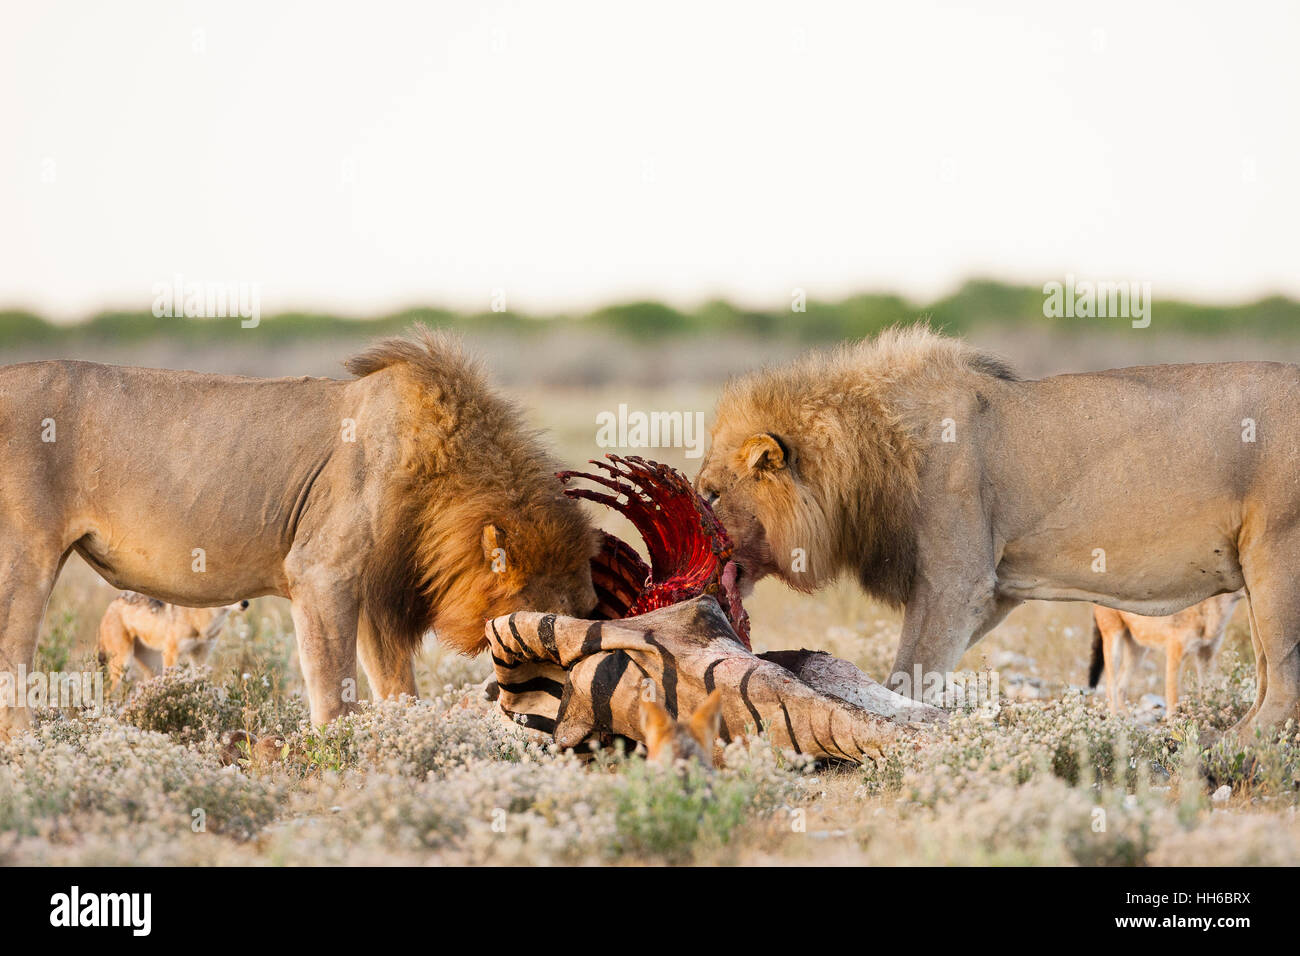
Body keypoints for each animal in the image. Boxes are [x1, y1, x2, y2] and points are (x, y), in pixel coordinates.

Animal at [97, 591, 250, 687]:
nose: (246, 603)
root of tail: (111, 604)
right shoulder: (171, 654)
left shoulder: (200, 656)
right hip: (123, 666)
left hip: (153, 668)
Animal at [1088, 591, 1243, 714]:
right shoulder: (1175, 654)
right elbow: (1173, 699)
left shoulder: (1206, 655)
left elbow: (1208, 694)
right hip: (1115, 646)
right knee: (1111, 689)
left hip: (1138, 652)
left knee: (1120, 688)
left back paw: (1128, 726)